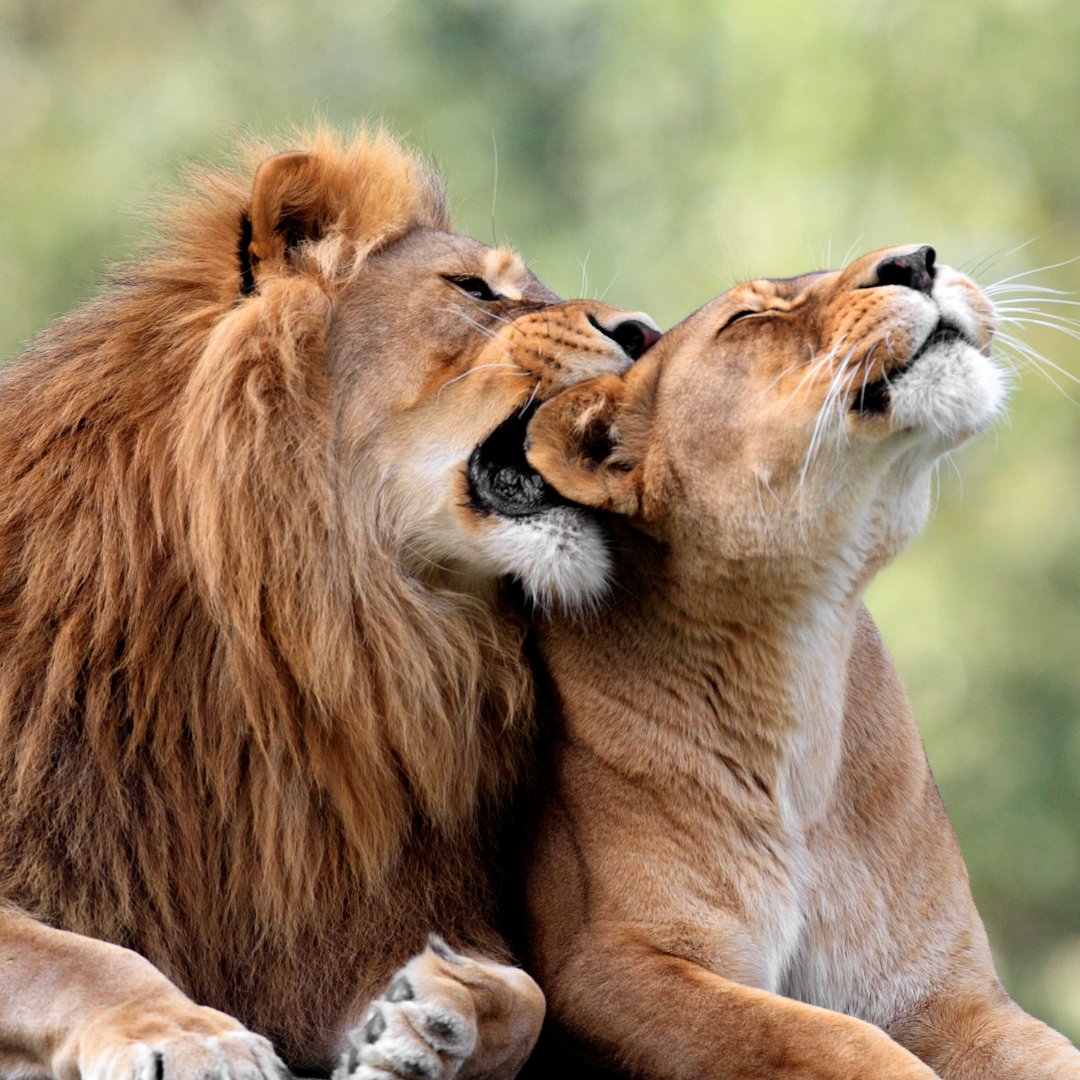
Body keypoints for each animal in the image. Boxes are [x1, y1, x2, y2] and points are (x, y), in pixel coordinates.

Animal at [0, 128, 660, 1080]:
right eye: (473, 289)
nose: (650, 334)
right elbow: (75, 955)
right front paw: (193, 1035)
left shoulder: (339, 921)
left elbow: (528, 996)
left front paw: (434, 1018)